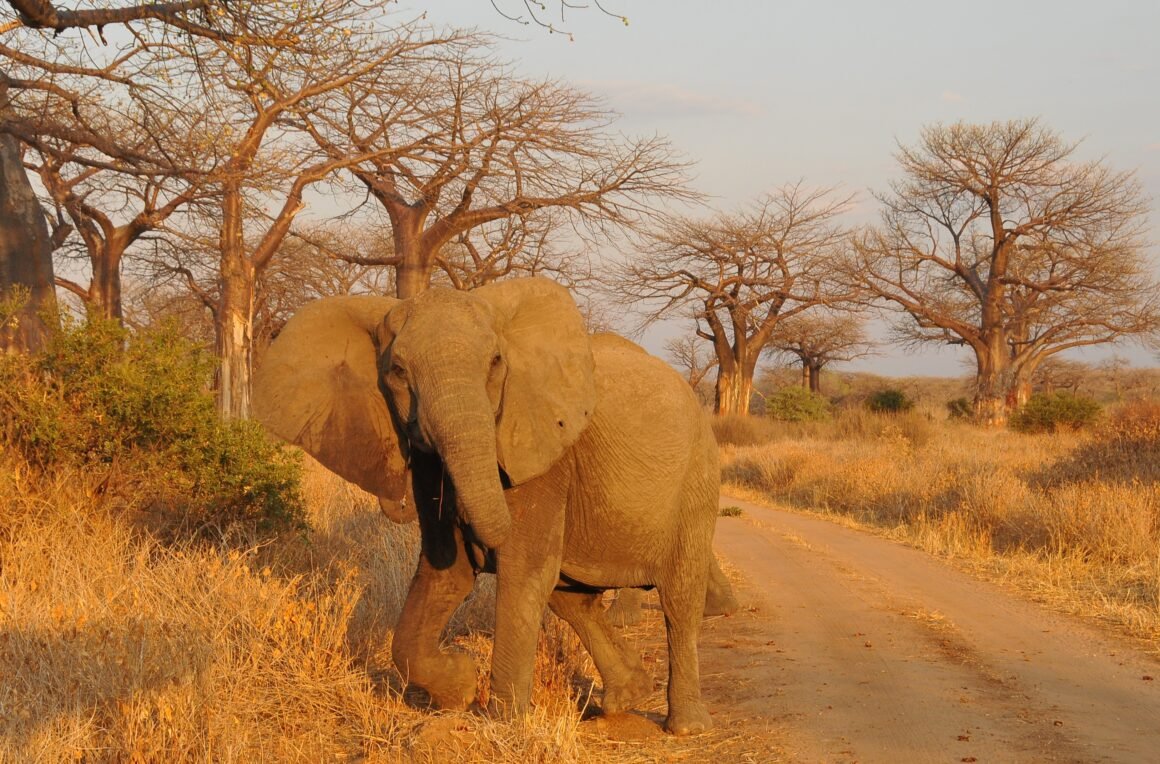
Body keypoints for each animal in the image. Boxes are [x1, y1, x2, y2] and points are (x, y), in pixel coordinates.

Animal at [253, 277, 729, 735]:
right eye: (398, 372)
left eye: (496, 362)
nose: (396, 498)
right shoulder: (430, 467)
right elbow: (447, 573)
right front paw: (460, 685)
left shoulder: (541, 454)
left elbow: (524, 570)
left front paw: (502, 722)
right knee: (572, 598)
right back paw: (624, 699)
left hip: (698, 476)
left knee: (678, 598)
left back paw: (685, 727)